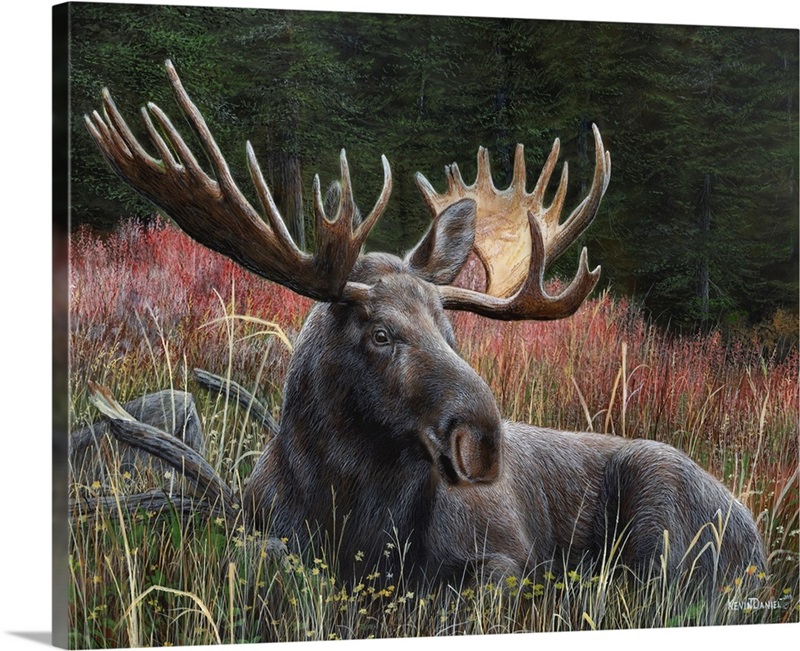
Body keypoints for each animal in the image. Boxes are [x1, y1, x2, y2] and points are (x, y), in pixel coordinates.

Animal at [82, 60, 766, 592]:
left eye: (450, 329)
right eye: (380, 333)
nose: (482, 438)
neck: (353, 516)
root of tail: (754, 534)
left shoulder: (505, 555)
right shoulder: (259, 529)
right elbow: (267, 557)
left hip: (664, 527)